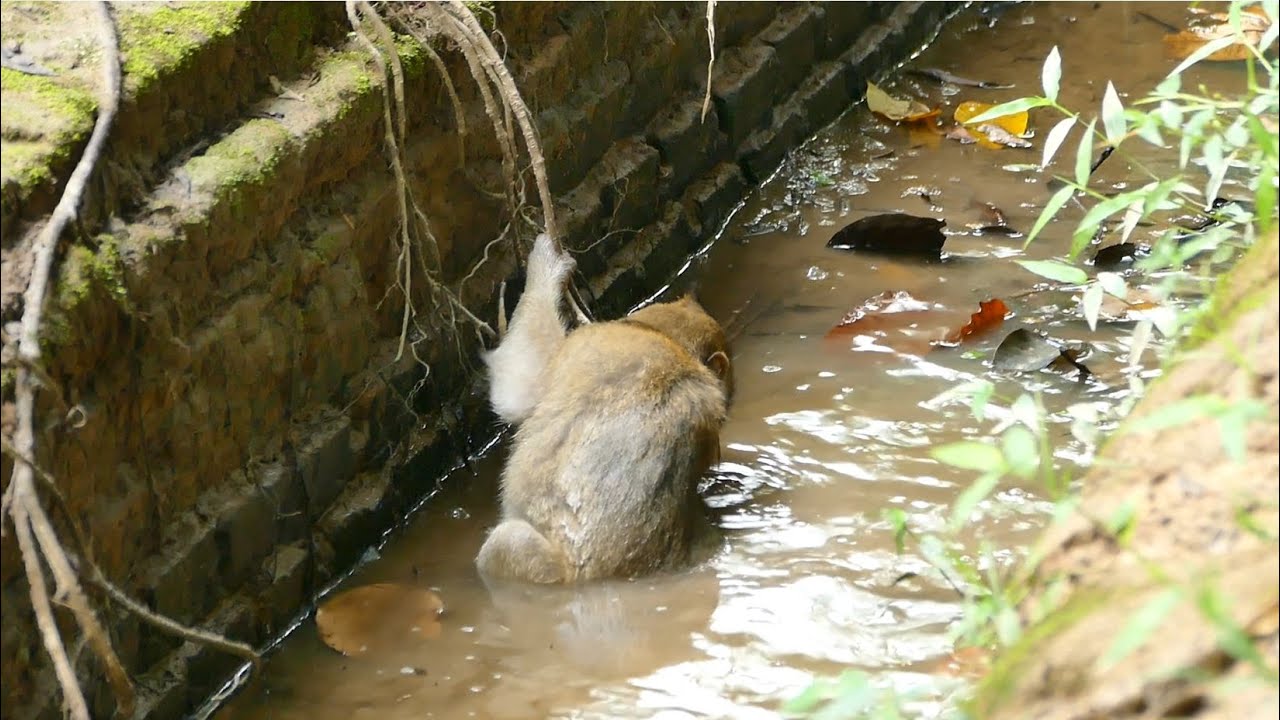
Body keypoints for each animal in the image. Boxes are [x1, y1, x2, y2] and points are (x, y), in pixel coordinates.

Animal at [478, 234, 733, 584]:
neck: (668, 341)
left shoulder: (587, 342)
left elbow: (518, 383)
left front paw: (546, 266)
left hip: (524, 559)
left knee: (505, 543)